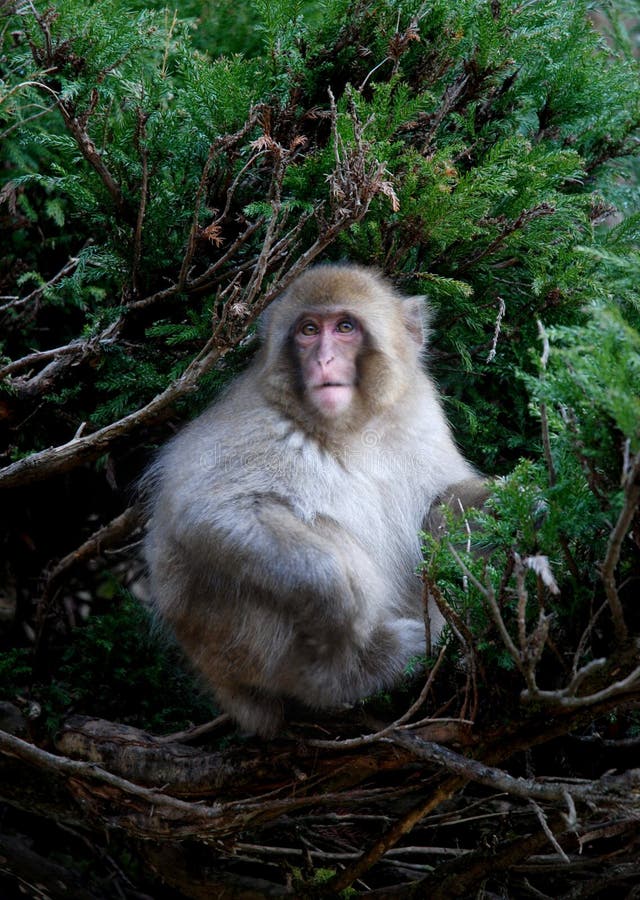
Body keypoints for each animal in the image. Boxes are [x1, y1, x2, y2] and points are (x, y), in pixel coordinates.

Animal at [142, 263, 487, 737]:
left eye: (344, 327)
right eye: (308, 330)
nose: (322, 359)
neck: (351, 427)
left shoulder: (420, 416)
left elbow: (440, 504)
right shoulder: (259, 424)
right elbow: (204, 513)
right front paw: (341, 601)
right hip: (234, 645)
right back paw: (355, 674)